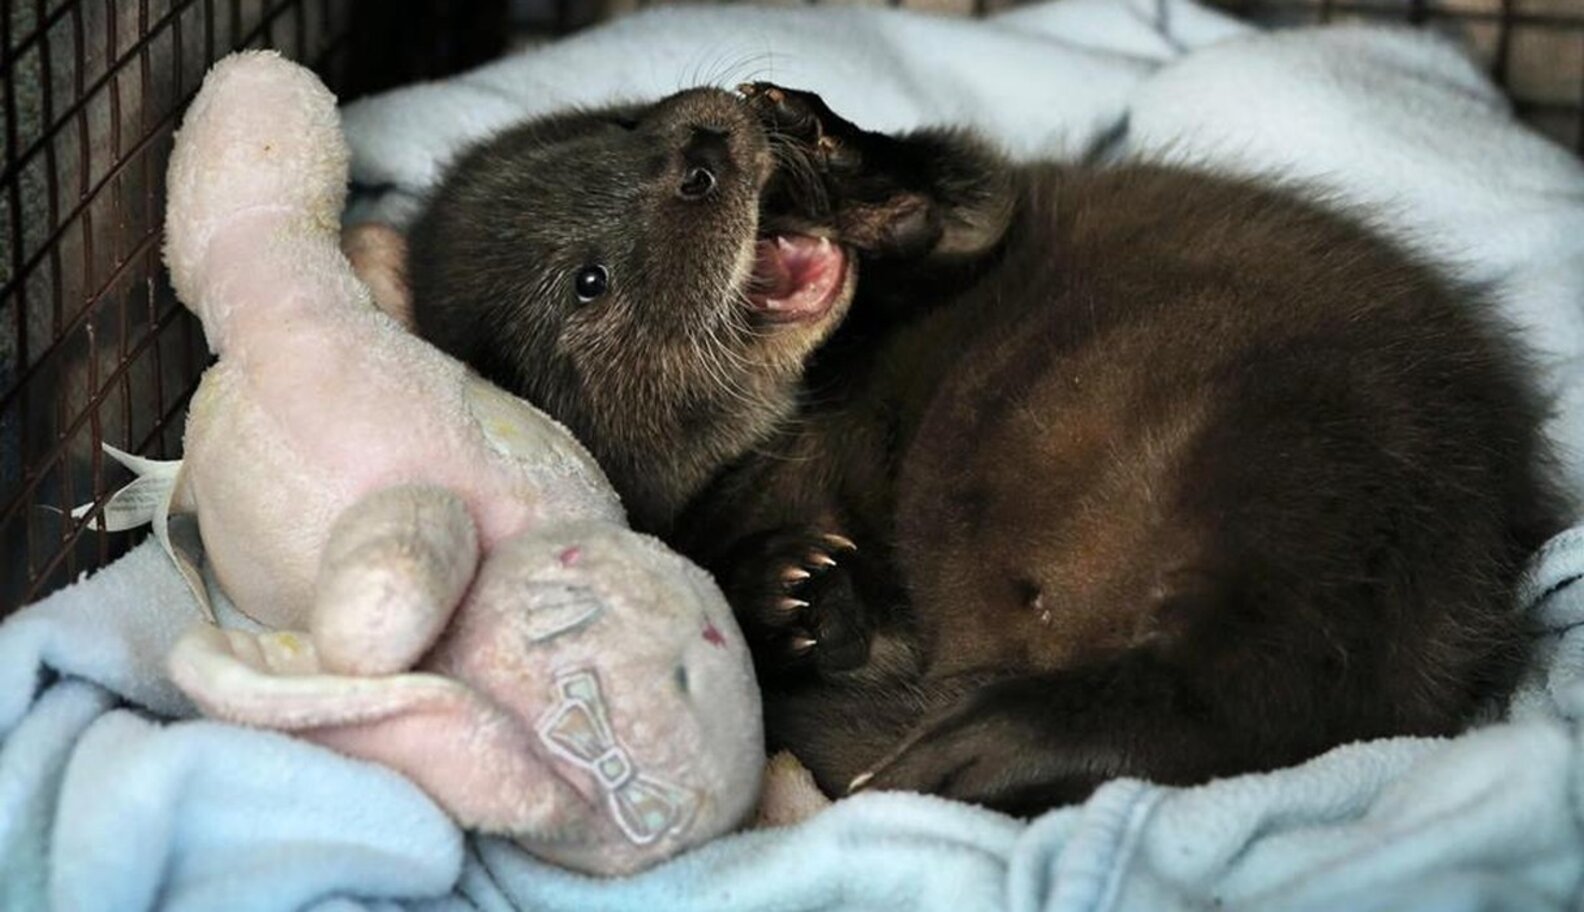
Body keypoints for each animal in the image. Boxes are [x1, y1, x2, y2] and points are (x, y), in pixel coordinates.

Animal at [401, 84, 1565, 815]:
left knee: (1253, 685)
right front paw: (793, 587)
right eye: (588, 282)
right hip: (1304, 462)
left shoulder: (974, 222)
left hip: (1296, 453)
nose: (702, 148)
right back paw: (944, 753)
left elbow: (977, 191)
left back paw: (957, 754)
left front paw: (840, 153)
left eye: (628, 119)